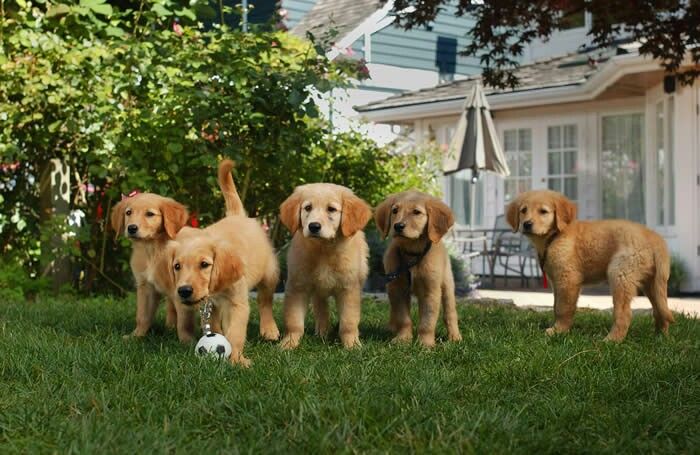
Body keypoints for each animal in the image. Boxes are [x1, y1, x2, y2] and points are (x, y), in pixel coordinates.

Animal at [278, 183, 374, 350]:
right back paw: (321, 334)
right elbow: (294, 320)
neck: (323, 249)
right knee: (321, 310)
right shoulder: (297, 286)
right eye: (307, 208)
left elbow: (348, 322)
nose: (314, 226)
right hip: (318, 291)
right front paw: (289, 343)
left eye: (331, 209)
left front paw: (352, 345)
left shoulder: (349, 289)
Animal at [374, 191, 462, 348]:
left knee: (450, 313)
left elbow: (427, 322)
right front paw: (403, 339)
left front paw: (425, 344)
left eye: (416, 212)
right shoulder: (397, 289)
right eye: (395, 210)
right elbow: (403, 318)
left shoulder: (431, 291)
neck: (412, 254)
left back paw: (454, 337)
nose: (398, 226)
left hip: (447, 286)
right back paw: (392, 327)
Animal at [506, 190, 676, 342]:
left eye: (543, 211)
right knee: (659, 310)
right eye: (523, 210)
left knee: (625, 314)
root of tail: (653, 237)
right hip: (652, 282)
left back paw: (612, 340)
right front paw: (558, 328)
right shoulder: (556, 281)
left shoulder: (568, 279)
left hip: (620, 275)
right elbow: (555, 306)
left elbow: (563, 308)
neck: (555, 236)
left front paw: (559, 331)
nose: (527, 224)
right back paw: (660, 337)